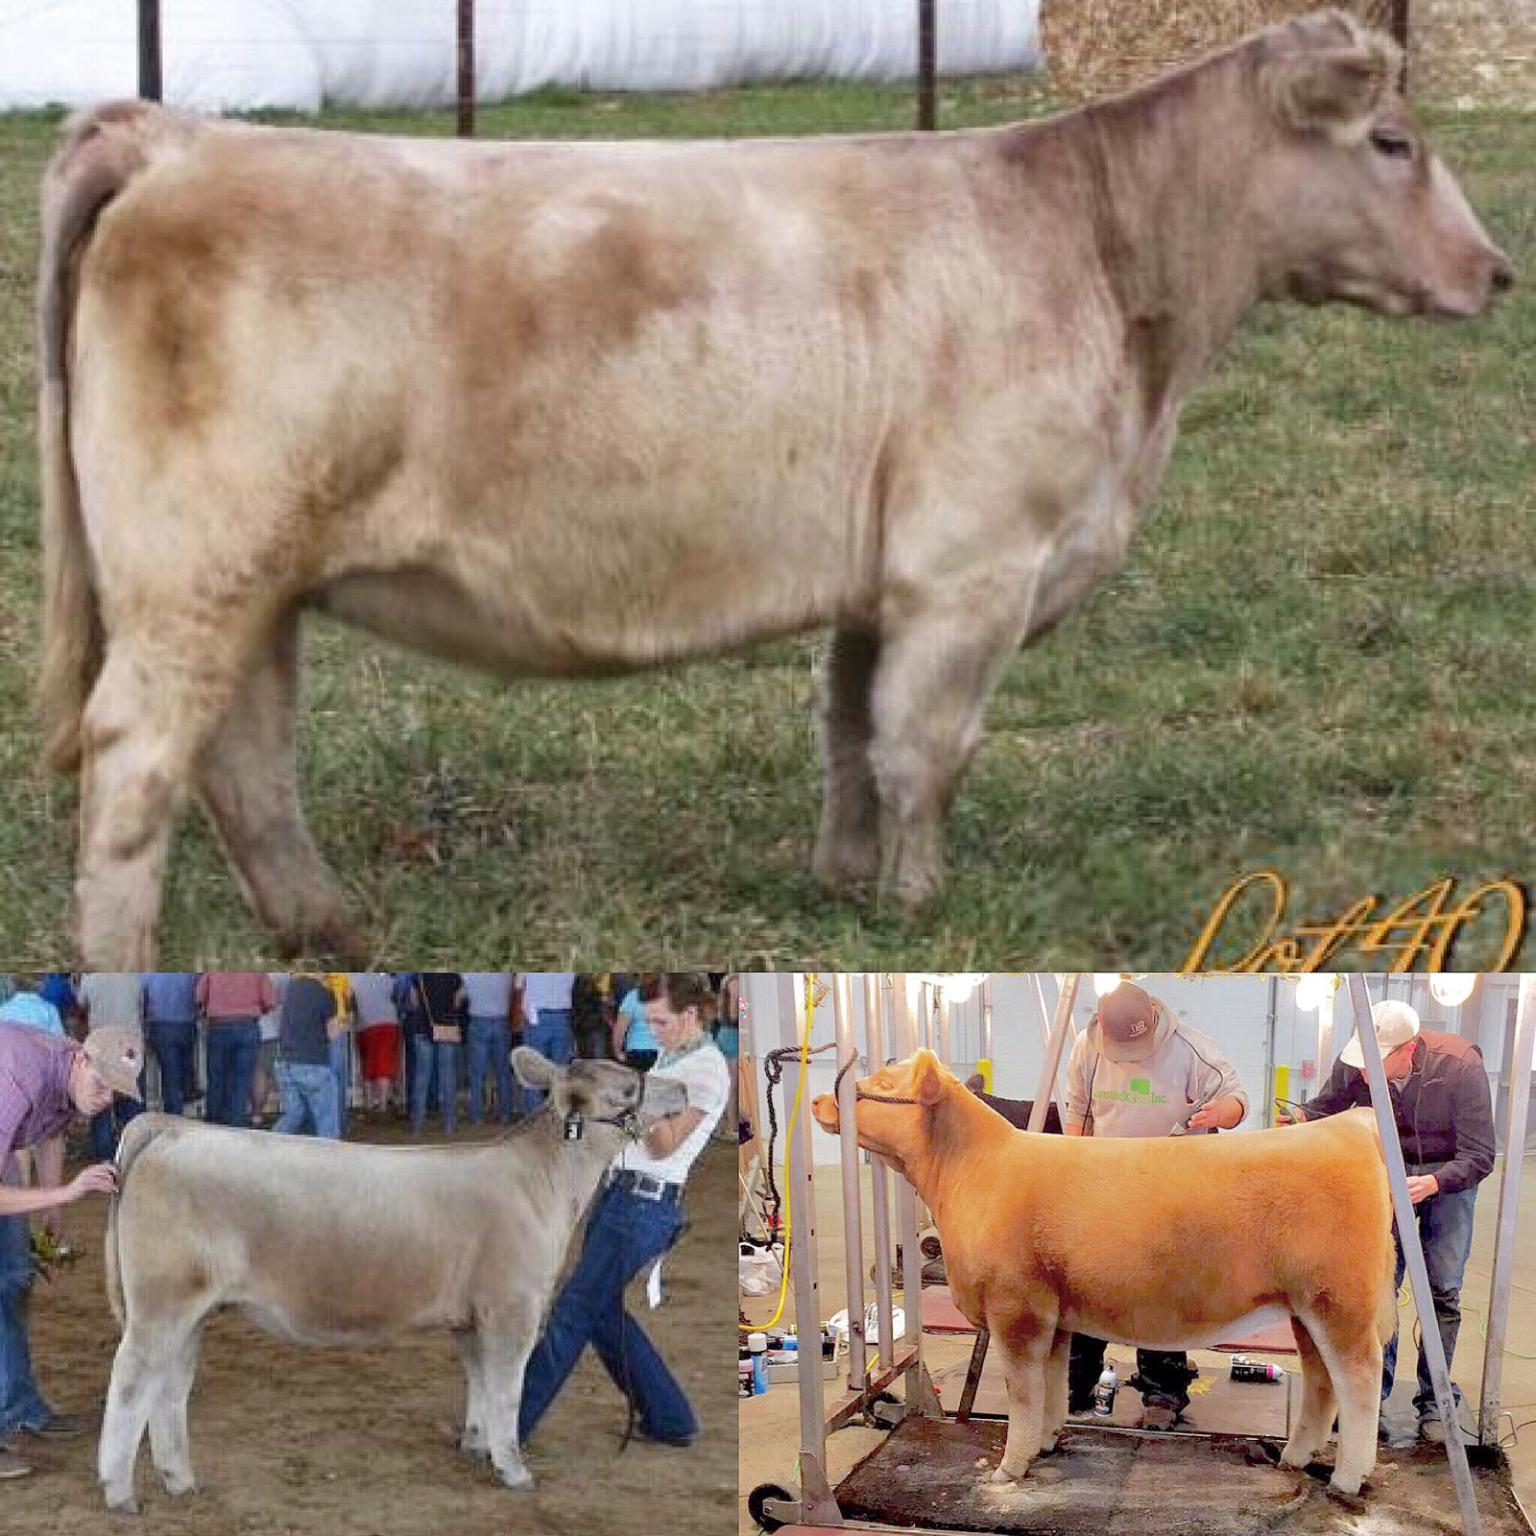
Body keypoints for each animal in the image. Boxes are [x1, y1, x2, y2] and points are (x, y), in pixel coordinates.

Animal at [37, 11, 1513, 965]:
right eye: (1391, 140)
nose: (1498, 272)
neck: (1108, 265)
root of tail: (176, 133)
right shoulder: (973, 566)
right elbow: (929, 744)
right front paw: (921, 907)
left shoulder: (886, 578)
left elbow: (854, 733)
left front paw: (850, 887)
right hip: (198, 569)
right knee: (140, 762)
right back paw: (121, 982)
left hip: (252, 580)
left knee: (246, 756)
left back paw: (328, 927)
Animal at [97, 1049, 687, 1513]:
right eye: (627, 1088)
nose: (681, 1087)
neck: (539, 1183)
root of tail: (173, 1128)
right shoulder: (511, 1308)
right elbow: (506, 1389)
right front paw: (513, 1468)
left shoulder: (469, 1317)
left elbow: (478, 1381)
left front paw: (476, 1445)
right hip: (162, 1303)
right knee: (131, 1381)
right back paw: (119, 1492)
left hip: (190, 1311)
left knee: (170, 1386)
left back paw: (180, 1481)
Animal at [813, 1050, 1397, 1497]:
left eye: (879, 1086)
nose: (821, 1098)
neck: (975, 1170)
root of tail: (1350, 1125)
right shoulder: (1052, 1312)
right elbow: (1051, 1383)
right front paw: (1046, 1443)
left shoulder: (1015, 1308)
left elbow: (1022, 1391)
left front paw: (1009, 1469)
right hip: (1306, 1307)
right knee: (1321, 1380)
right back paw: (1295, 1457)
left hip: (1341, 1303)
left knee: (1359, 1381)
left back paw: (1347, 1478)